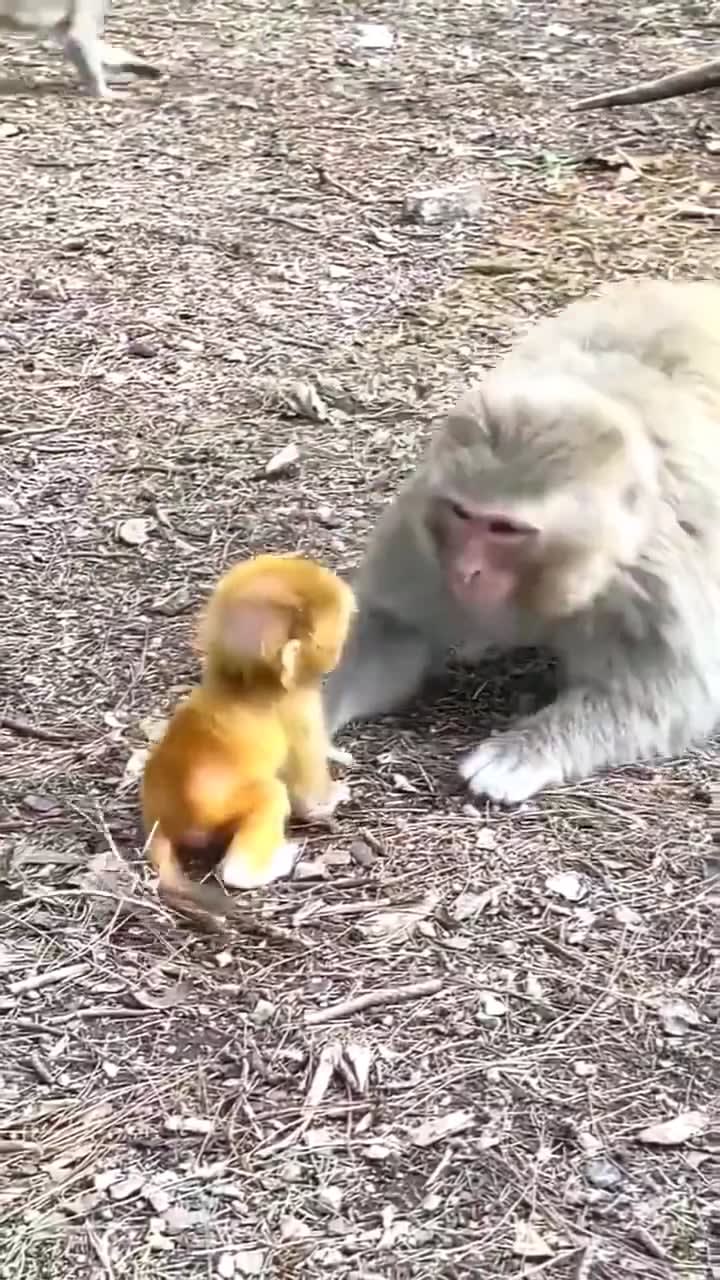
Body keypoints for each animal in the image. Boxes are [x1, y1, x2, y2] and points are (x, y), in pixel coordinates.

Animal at [142, 553, 356, 915]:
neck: (243, 685)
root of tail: (163, 818)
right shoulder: (300, 705)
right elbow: (307, 794)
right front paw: (330, 799)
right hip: (212, 817)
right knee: (270, 795)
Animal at [324, 278, 720, 807]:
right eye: (463, 514)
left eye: (505, 529)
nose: (466, 569)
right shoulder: (422, 539)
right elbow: (394, 628)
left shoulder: (657, 578)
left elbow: (669, 693)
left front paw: (522, 751)